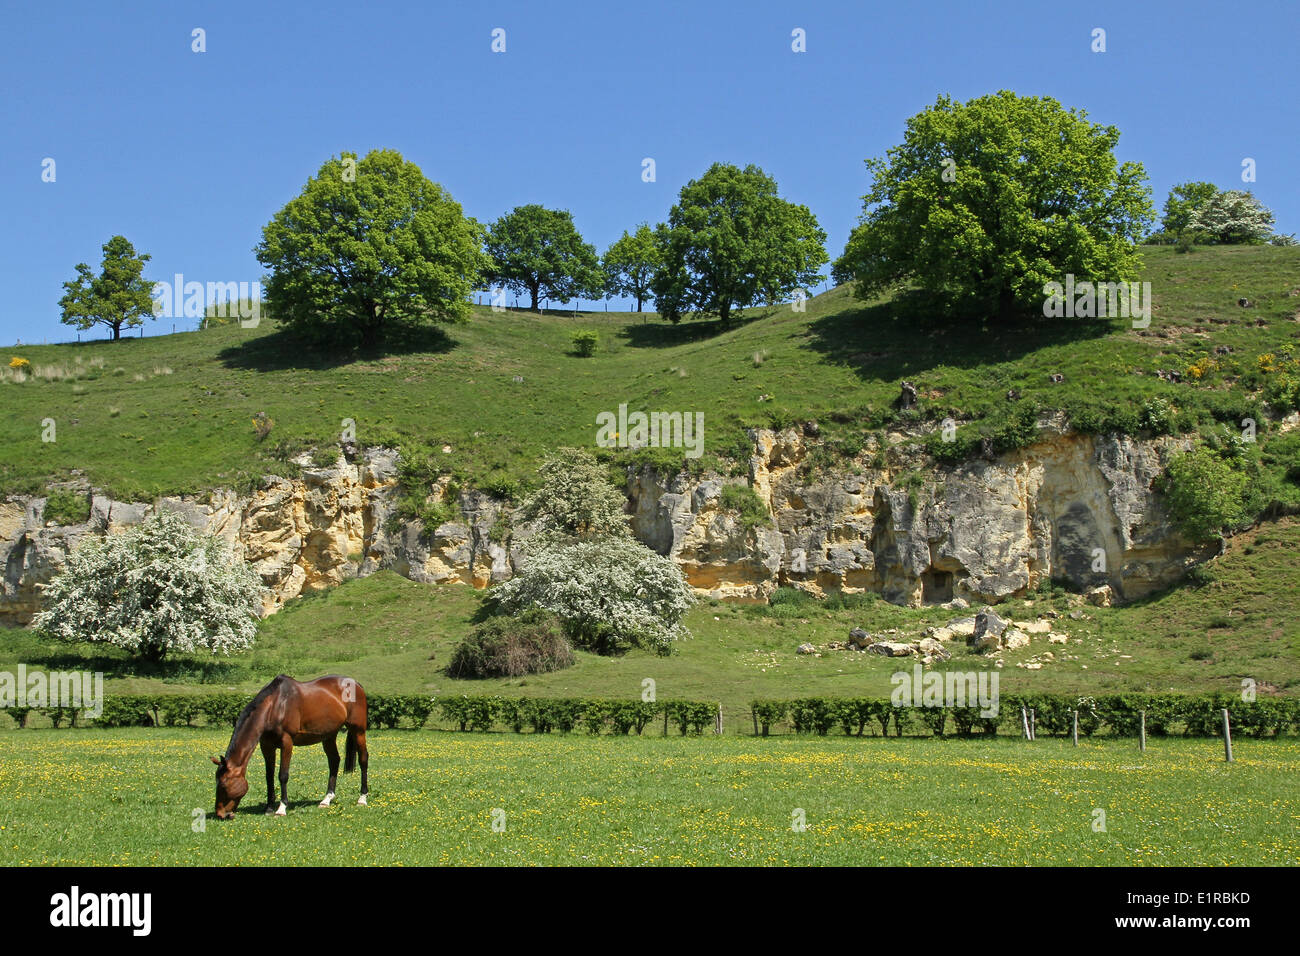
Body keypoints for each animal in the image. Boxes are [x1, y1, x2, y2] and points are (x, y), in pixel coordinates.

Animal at [211, 674, 368, 819]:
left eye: (223, 785)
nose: (220, 814)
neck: (275, 705)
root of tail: (356, 684)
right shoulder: (267, 746)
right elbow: (269, 776)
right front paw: (269, 807)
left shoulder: (287, 743)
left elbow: (283, 775)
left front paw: (282, 808)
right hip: (329, 735)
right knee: (334, 760)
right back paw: (326, 799)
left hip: (358, 731)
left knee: (363, 759)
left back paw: (362, 798)